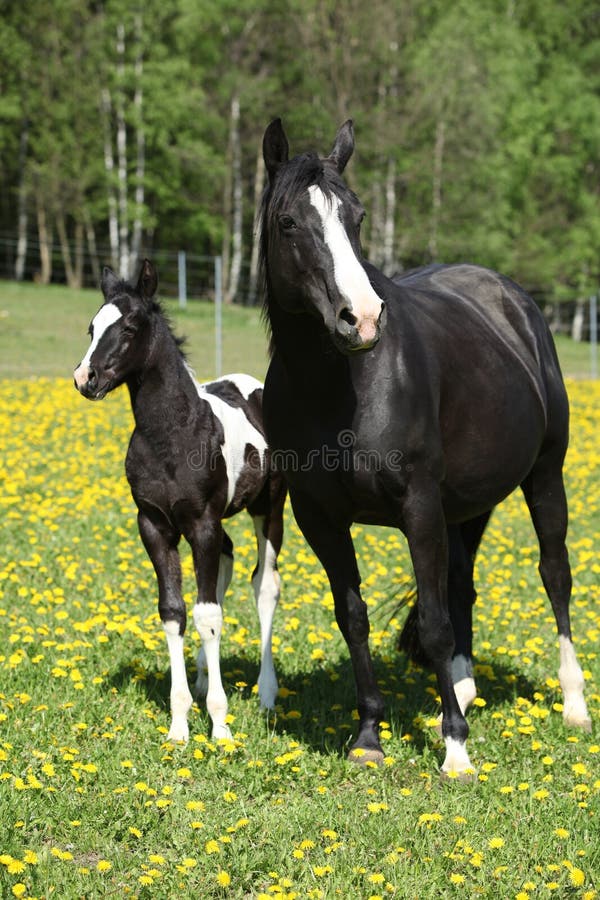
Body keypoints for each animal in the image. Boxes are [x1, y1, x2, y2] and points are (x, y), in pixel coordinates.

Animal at [74, 260, 286, 743]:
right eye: (91, 327)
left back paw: (266, 695)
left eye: (130, 327)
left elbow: (208, 615)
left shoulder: (203, 523)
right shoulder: (155, 526)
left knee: (264, 585)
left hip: (268, 510)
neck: (173, 437)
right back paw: (205, 676)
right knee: (225, 567)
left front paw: (220, 726)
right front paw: (179, 724)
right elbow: (175, 612)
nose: (84, 379)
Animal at [259, 118, 591, 776]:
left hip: (545, 476)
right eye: (289, 222)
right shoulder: (319, 518)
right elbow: (353, 618)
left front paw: (456, 749)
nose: (361, 319)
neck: (341, 387)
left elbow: (434, 623)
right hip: (467, 504)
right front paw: (369, 736)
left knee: (555, 576)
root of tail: (511, 297)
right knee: (464, 584)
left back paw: (572, 705)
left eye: (358, 217)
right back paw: (458, 691)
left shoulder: (418, 508)